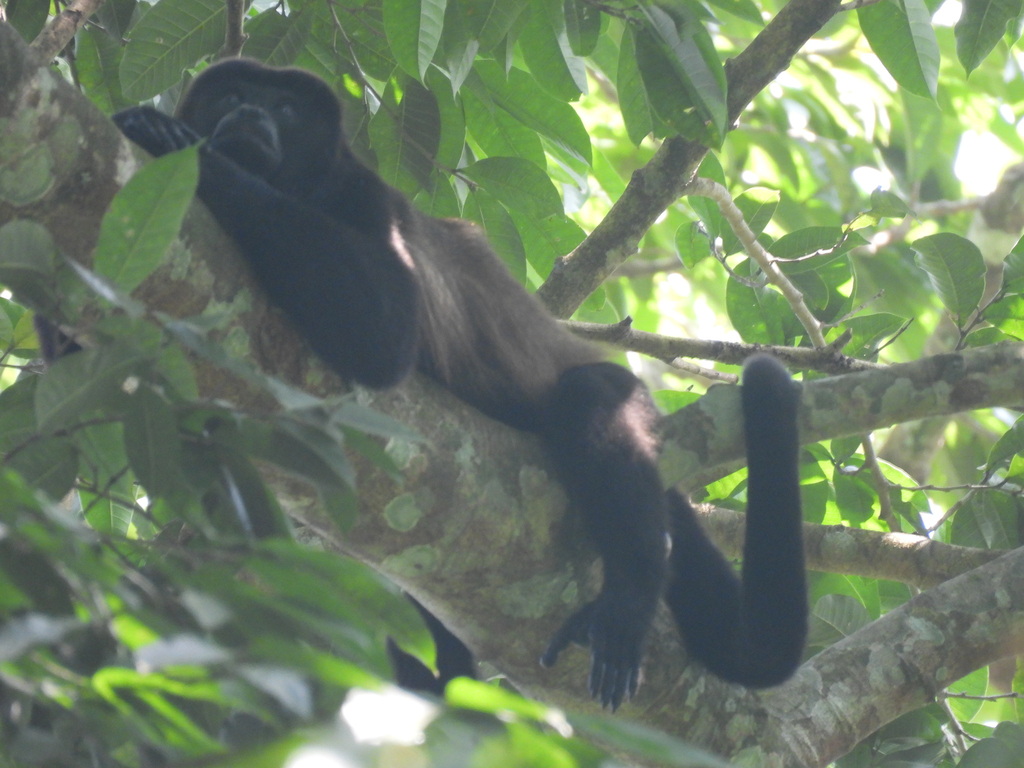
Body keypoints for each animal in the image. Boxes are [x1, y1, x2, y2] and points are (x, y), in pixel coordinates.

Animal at [112, 58, 807, 709]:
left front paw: (174, 143)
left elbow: (385, 330)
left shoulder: (365, 196)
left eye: (284, 107)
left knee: (590, 407)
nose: (251, 115)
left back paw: (629, 598)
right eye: (232, 96)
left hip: (622, 389)